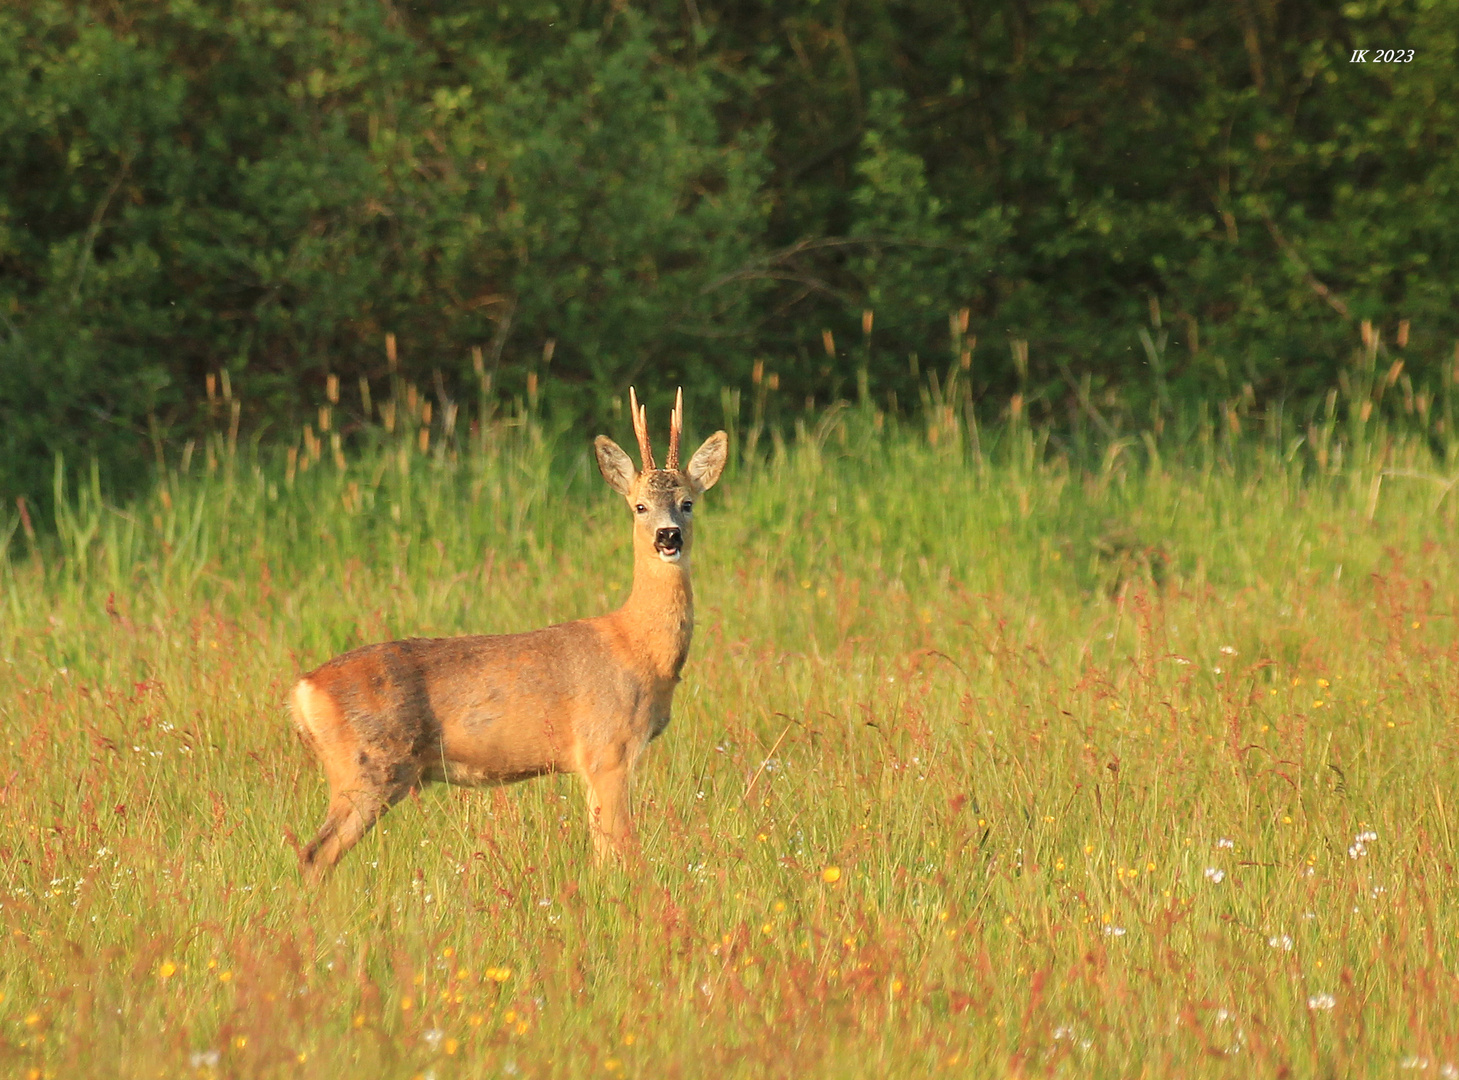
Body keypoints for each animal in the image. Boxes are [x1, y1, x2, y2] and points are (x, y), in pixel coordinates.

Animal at [291, 388, 729, 875]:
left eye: (688, 503)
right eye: (639, 506)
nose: (668, 536)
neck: (639, 648)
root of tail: (303, 690)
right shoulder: (607, 748)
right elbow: (622, 851)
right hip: (368, 768)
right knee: (315, 853)